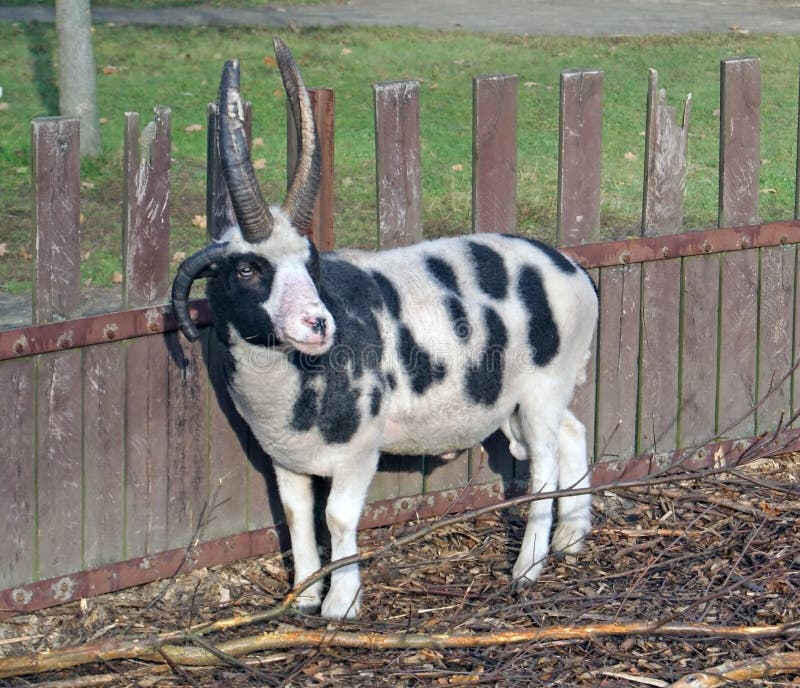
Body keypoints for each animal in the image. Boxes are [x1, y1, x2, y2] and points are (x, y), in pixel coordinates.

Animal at [171, 38, 599, 620]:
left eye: (309, 263)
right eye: (246, 269)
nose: (317, 325)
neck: (291, 382)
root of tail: (575, 273)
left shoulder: (359, 450)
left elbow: (337, 518)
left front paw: (340, 604)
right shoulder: (284, 455)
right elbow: (297, 515)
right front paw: (303, 596)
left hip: (542, 390)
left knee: (543, 470)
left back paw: (527, 570)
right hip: (525, 401)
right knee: (573, 433)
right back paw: (571, 538)